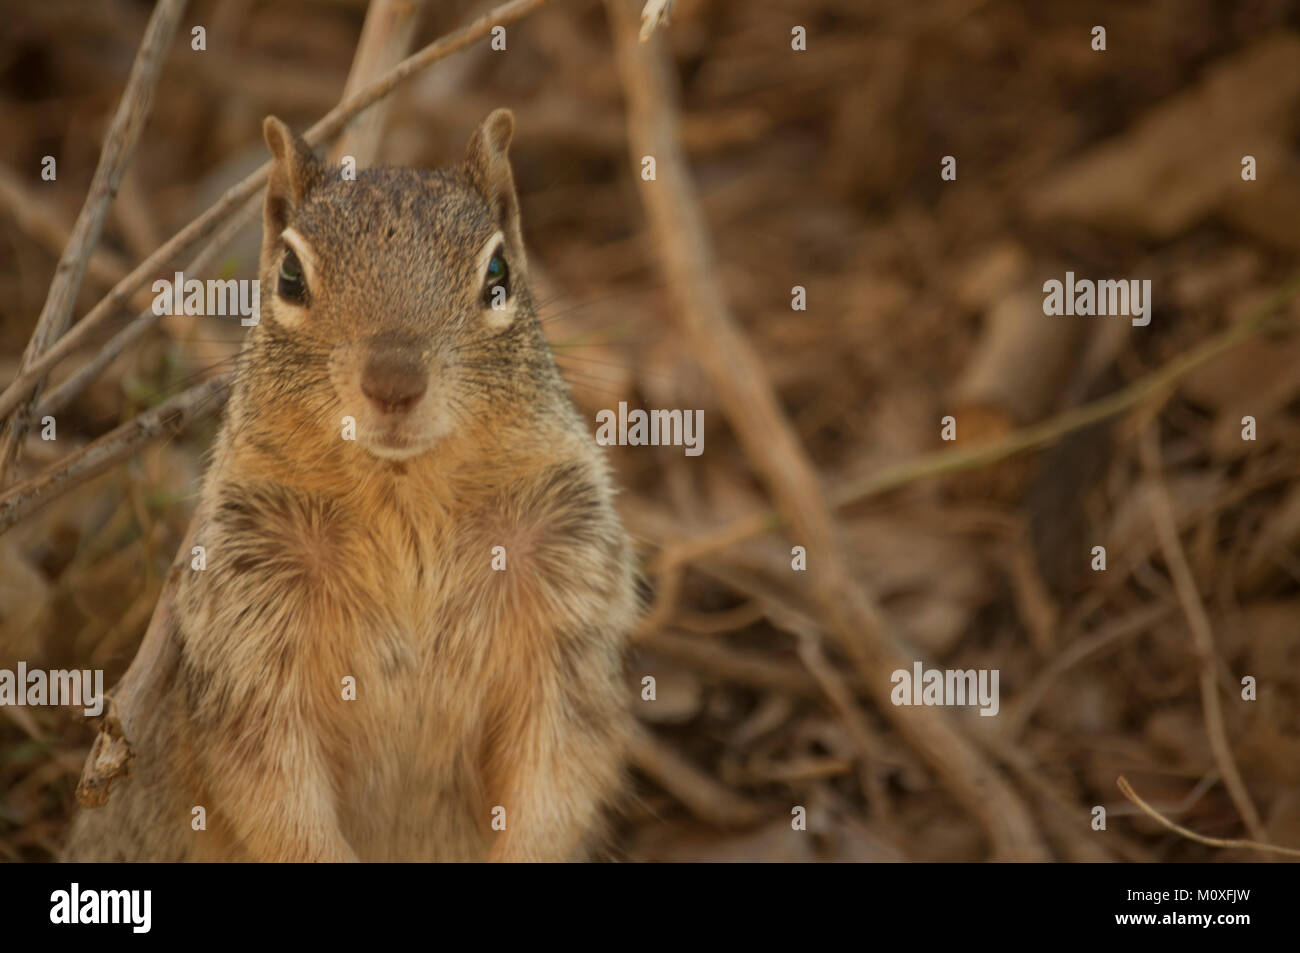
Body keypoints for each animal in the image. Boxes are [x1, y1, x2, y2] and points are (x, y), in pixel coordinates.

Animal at [63, 110, 640, 861]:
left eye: (498, 273)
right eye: (288, 275)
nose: (394, 381)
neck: (405, 501)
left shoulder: (564, 592)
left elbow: (559, 768)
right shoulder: (250, 628)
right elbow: (273, 786)